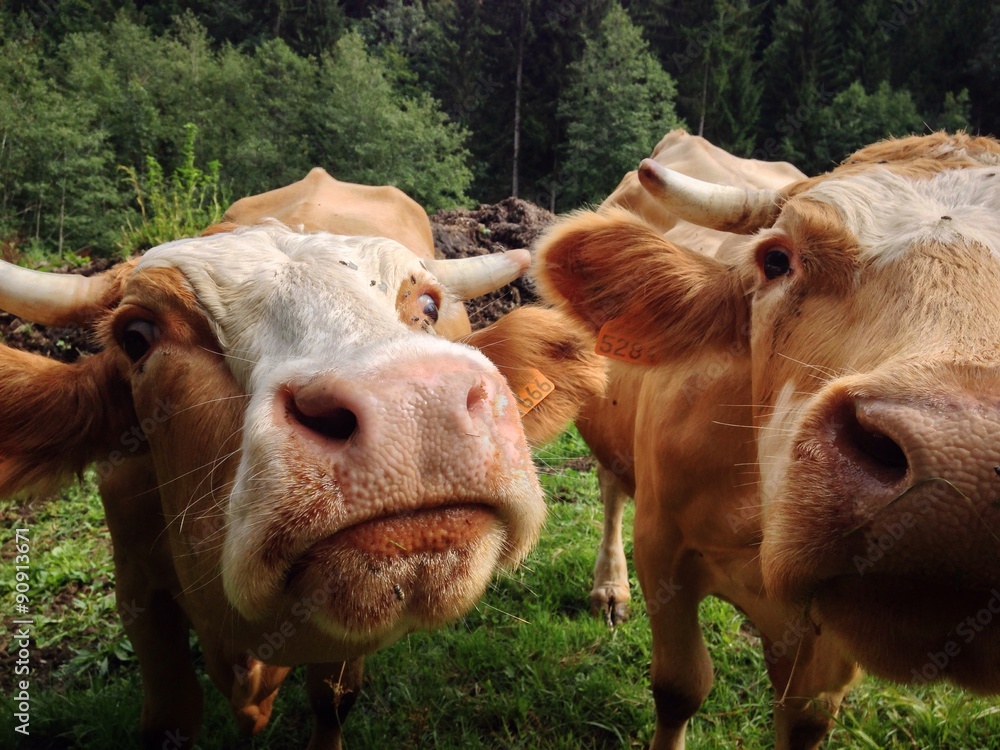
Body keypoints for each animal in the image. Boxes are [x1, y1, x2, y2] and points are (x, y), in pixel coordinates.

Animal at [0, 173, 606, 749]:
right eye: (136, 336)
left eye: (429, 306)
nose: (414, 403)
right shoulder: (136, 587)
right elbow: (171, 717)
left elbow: (332, 699)